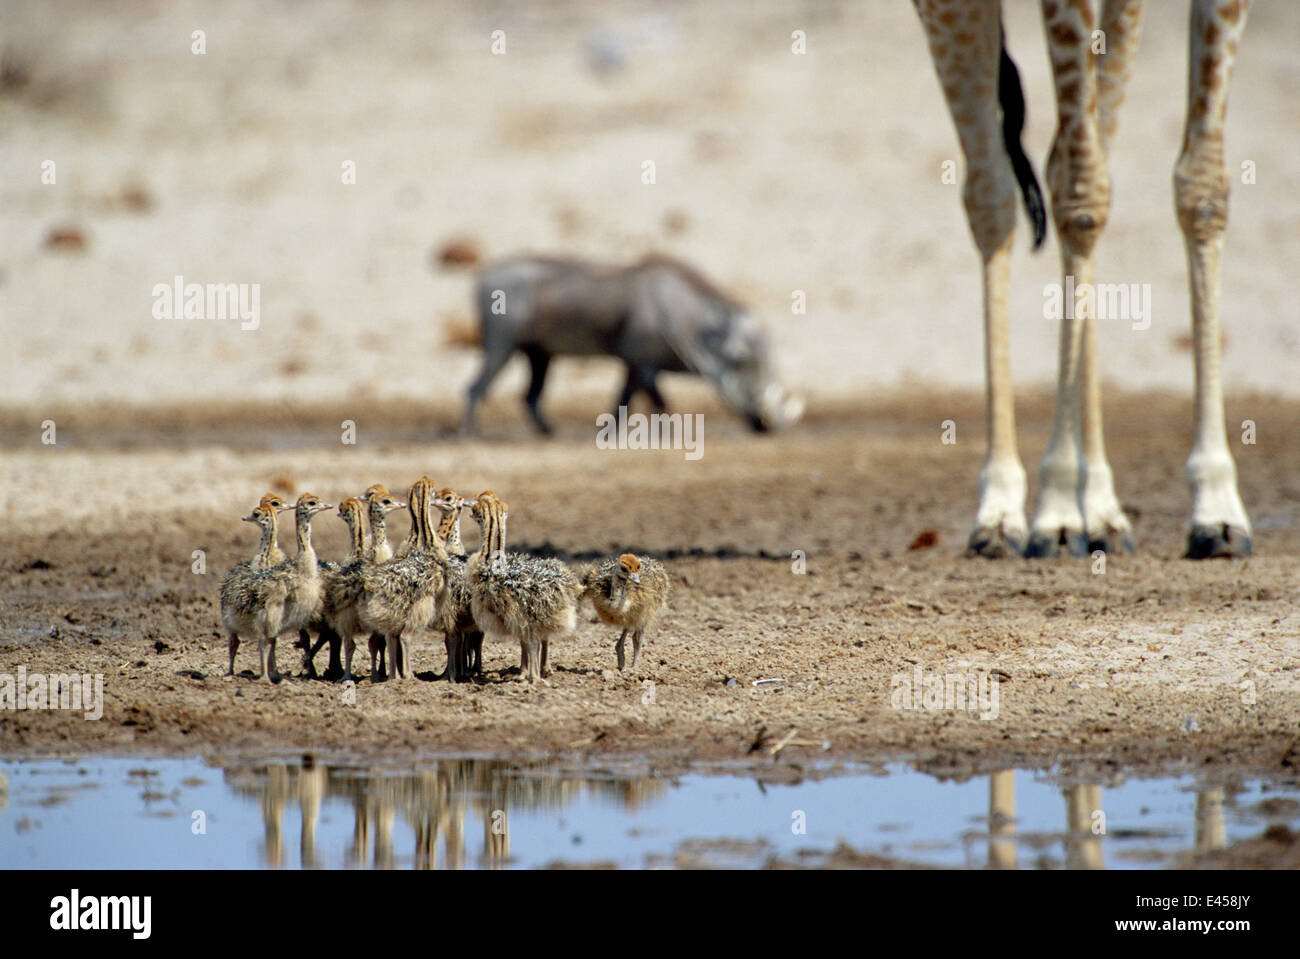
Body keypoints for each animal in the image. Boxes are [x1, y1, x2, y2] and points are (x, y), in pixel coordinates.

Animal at [914, 0, 1253, 559]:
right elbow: (1079, 190)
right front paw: (1054, 508)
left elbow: (1202, 184)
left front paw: (1217, 510)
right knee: (993, 191)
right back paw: (1003, 510)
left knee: (1088, 150)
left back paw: (1101, 510)